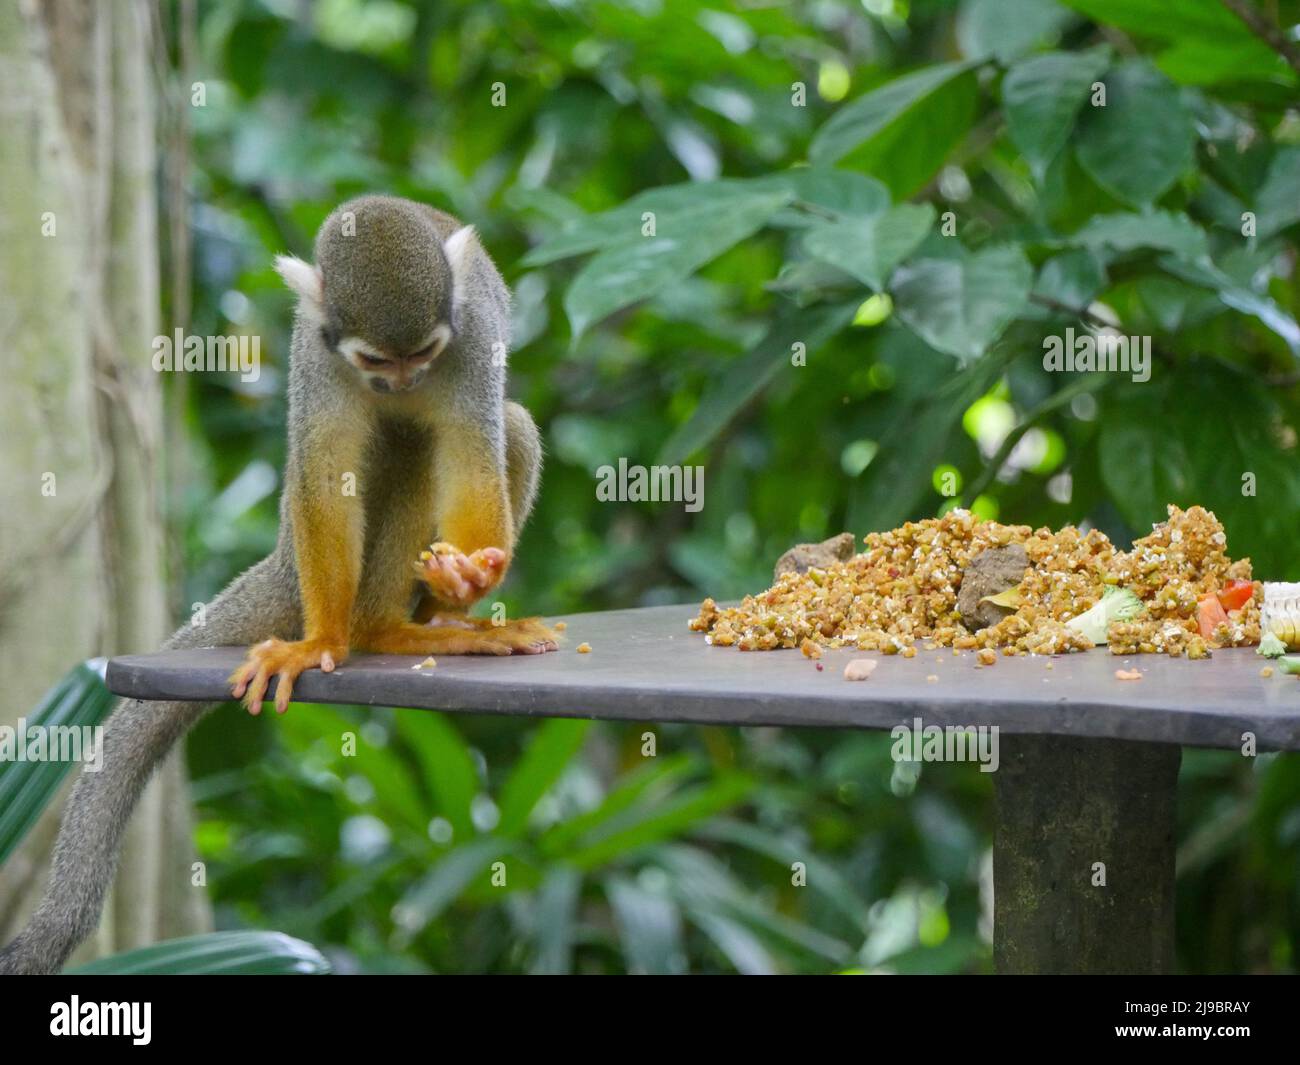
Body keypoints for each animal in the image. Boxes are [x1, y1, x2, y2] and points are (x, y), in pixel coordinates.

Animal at [0, 195, 555, 974]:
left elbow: (474, 444)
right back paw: (377, 629)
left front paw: (474, 571)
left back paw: (432, 618)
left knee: (495, 427)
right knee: (390, 452)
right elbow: (325, 474)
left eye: (422, 354)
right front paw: (318, 643)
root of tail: (284, 565)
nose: (402, 383)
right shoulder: (316, 358)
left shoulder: (469, 339)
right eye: (375, 360)